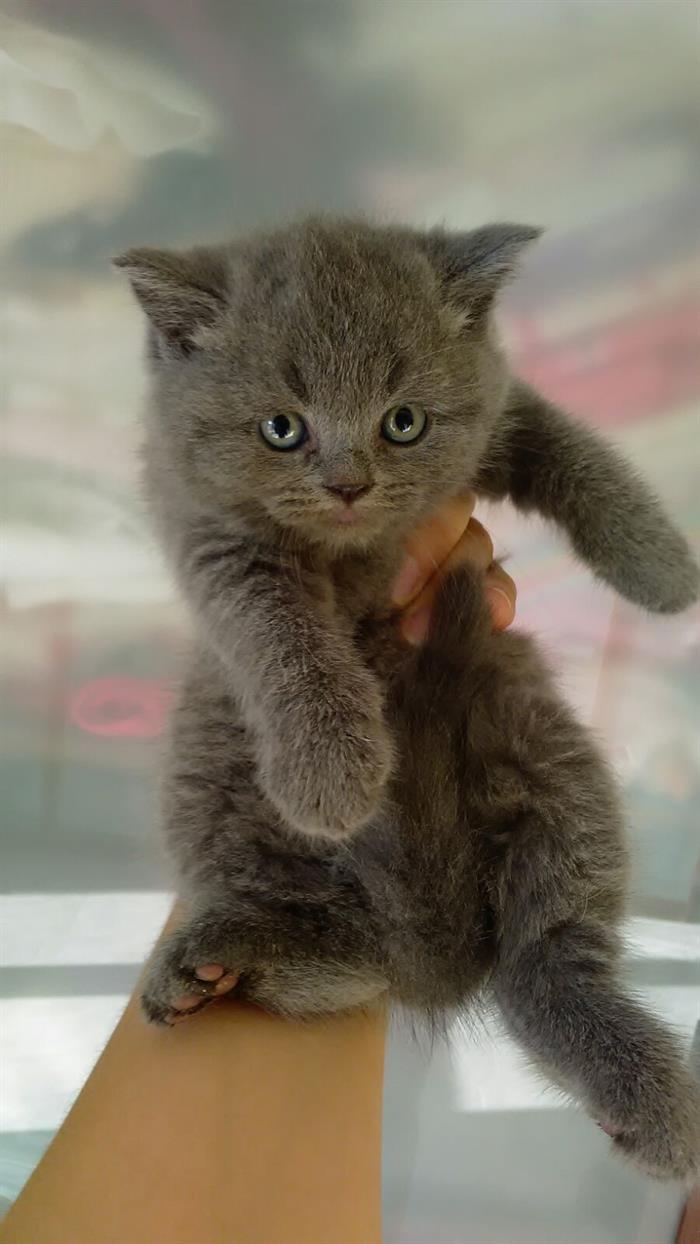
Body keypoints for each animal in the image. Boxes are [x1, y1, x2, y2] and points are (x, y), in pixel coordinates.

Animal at [117, 218, 696, 1179]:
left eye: (403, 421)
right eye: (282, 428)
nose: (348, 483)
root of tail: (424, 948)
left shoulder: (498, 413)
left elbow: (563, 444)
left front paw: (658, 562)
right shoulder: (216, 535)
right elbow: (275, 625)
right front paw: (332, 771)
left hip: (542, 741)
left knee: (546, 959)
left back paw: (640, 1091)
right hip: (212, 748)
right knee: (346, 952)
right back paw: (220, 957)